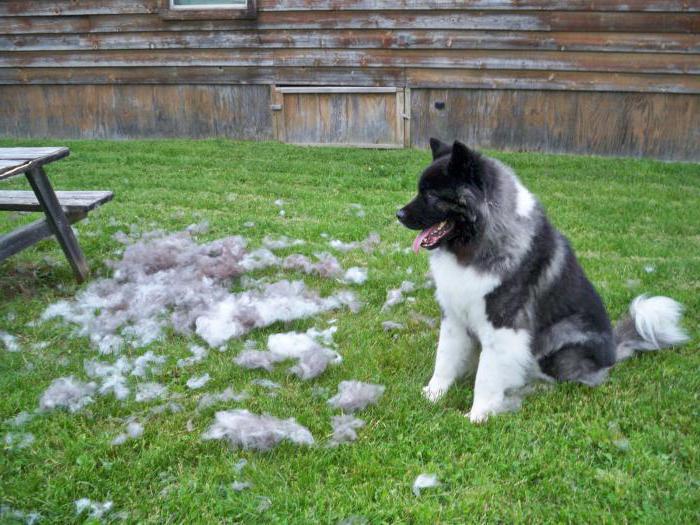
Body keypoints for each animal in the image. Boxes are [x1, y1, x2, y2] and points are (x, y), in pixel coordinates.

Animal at [396, 138, 688, 422]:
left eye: (431, 195)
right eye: (420, 191)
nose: (398, 214)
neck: (480, 241)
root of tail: (613, 353)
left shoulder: (503, 325)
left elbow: (487, 375)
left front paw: (479, 414)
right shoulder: (454, 315)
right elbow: (444, 359)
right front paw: (433, 395)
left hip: (561, 337)